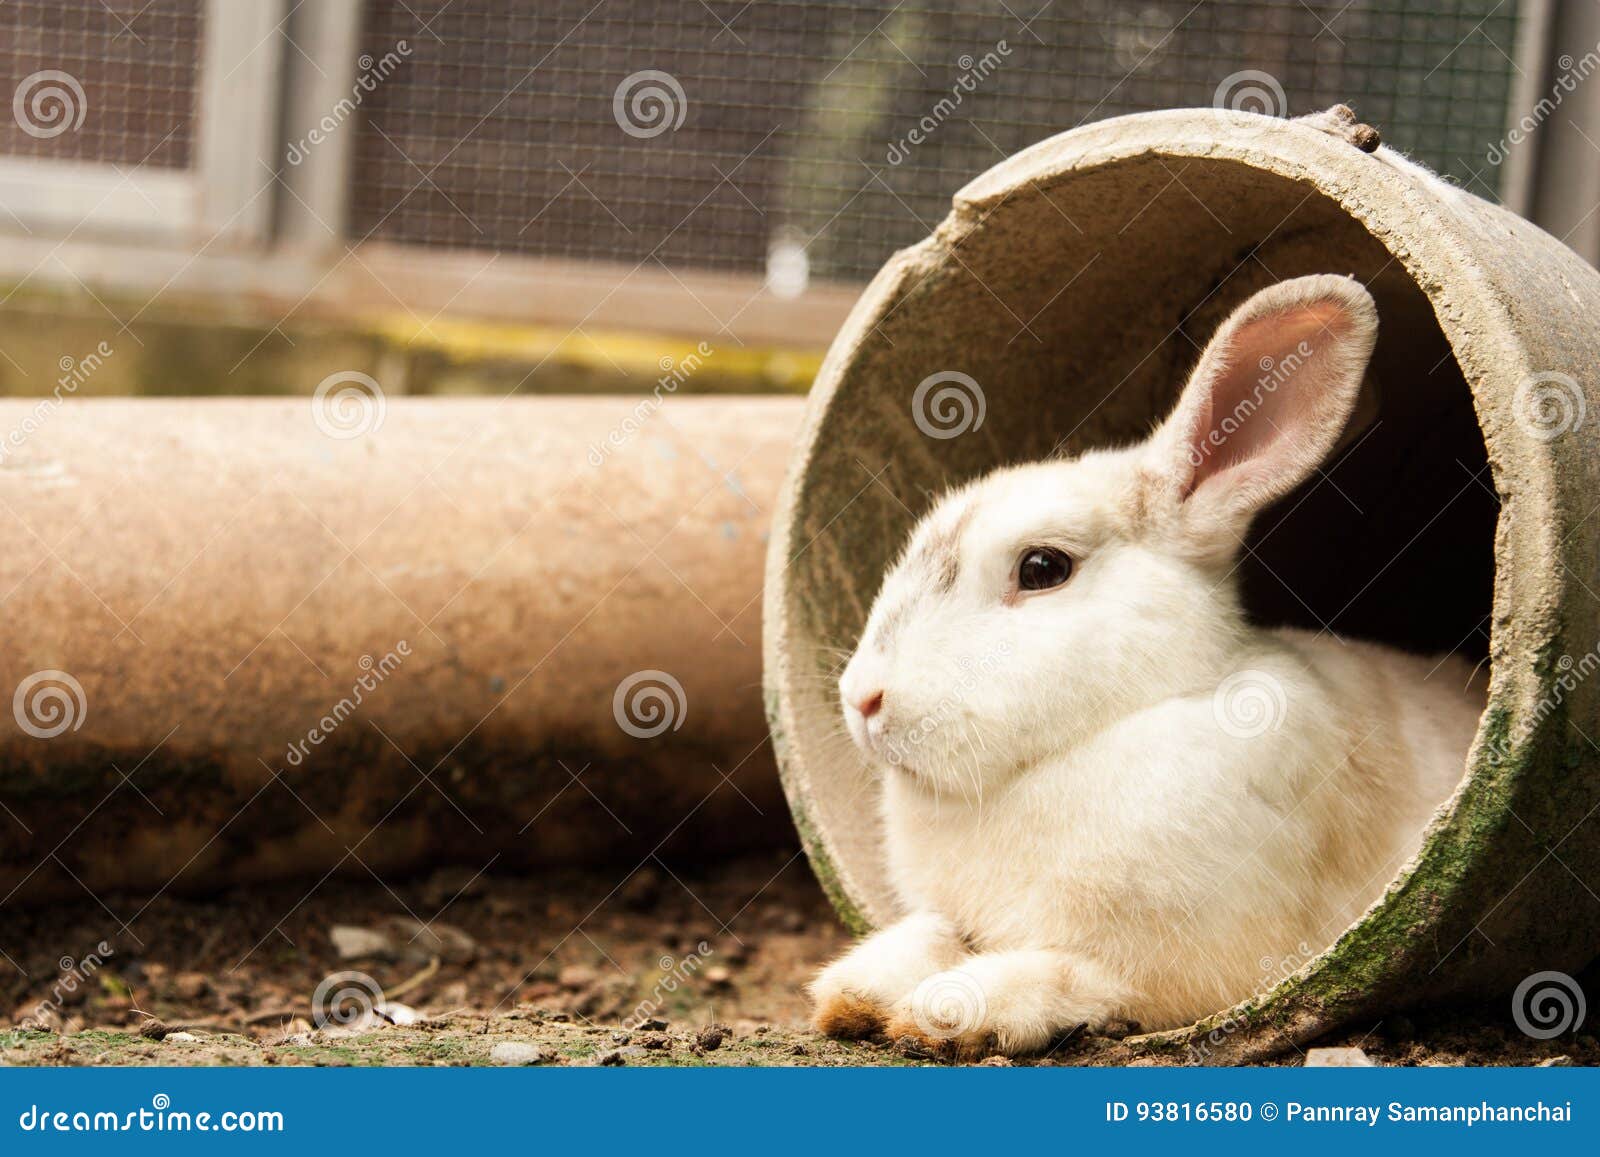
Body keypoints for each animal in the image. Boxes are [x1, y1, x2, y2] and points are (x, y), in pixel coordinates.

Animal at [811, 274, 1486, 1058]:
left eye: (1043, 568)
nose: (863, 697)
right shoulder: (952, 912)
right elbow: (929, 931)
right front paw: (853, 991)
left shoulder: (1189, 972)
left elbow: (1076, 975)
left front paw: (948, 1010)